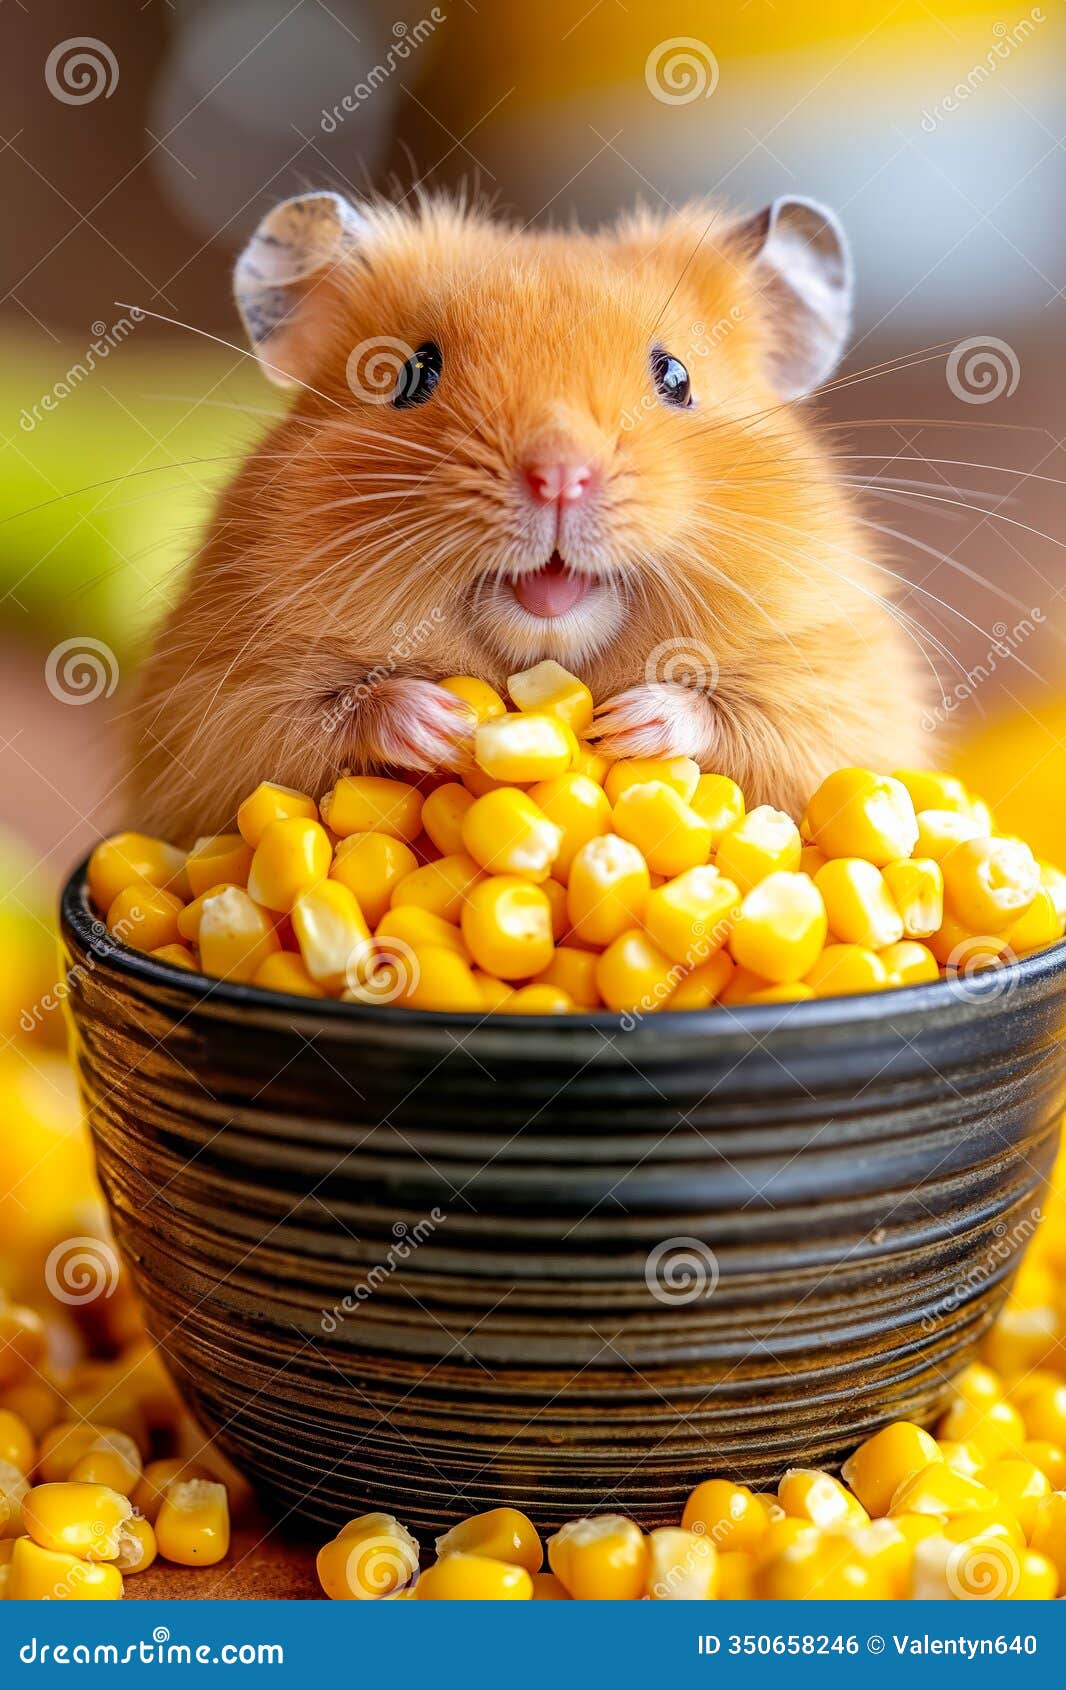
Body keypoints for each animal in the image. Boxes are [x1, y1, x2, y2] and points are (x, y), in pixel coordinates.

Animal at [131, 191, 926, 841]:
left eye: (676, 377)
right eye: (412, 373)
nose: (559, 479)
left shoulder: (836, 686)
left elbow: (758, 721)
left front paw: (627, 724)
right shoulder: (213, 705)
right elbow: (300, 719)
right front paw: (443, 727)